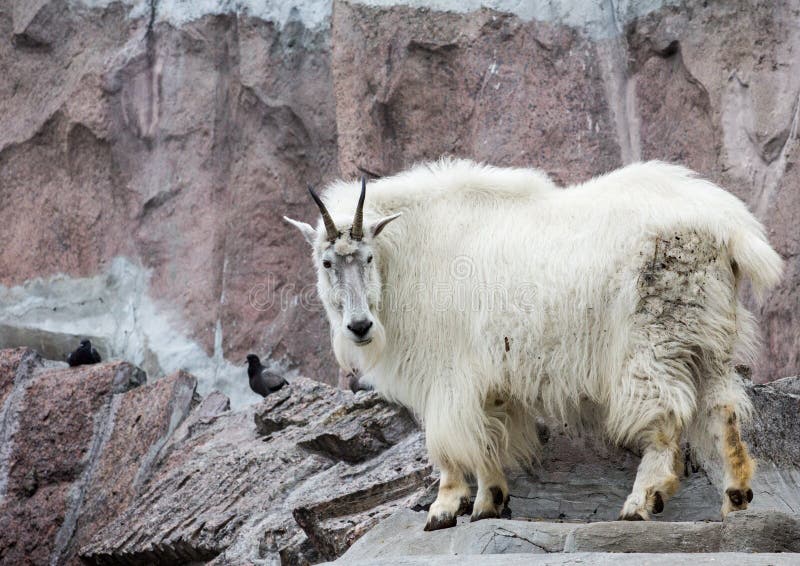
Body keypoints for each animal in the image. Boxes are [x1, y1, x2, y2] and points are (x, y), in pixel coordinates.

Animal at [284, 158, 782, 530]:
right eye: (326, 262)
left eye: (367, 257)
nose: (359, 327)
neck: (410, 250)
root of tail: (731, 229)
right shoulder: (490, 375)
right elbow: (489, 436)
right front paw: (489, 502)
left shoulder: (447, 371)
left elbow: (448, 441)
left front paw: (443, 510)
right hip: (708, 334)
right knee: (723, 407)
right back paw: (736, 497)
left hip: (654, 335)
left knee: (664, 413)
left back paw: (642, 501)